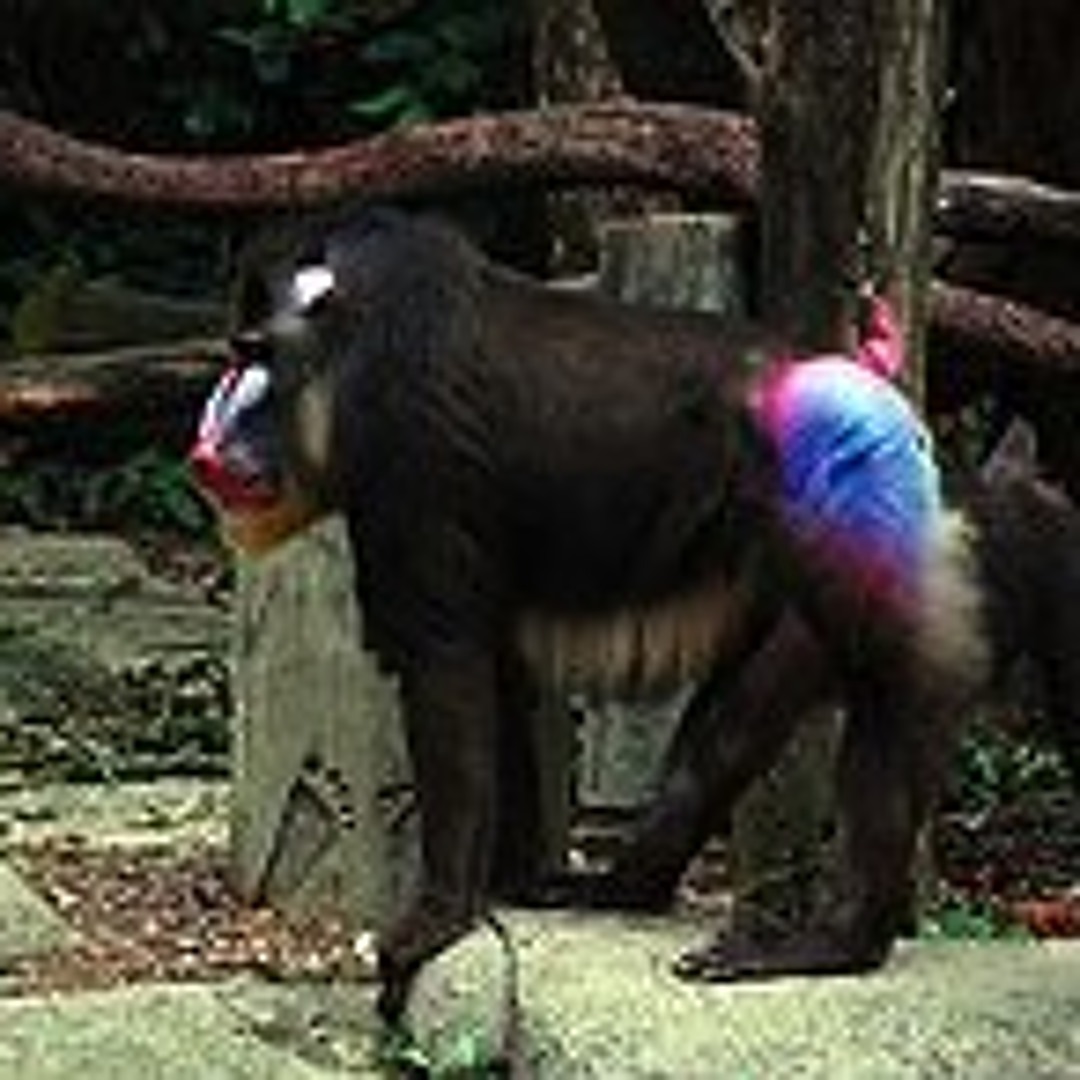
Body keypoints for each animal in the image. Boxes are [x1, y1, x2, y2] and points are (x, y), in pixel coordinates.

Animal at [188, 207, 986, 1019]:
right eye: (238, 349)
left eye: (258, 354)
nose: (209, 445)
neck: (360, 349)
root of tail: (864, 383)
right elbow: (501, 696)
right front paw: (504, 886)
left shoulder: (420, 489)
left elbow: (449, 680)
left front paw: (434, 923)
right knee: (729, 729)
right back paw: (622, 888)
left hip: (859, 528)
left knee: (889, 702)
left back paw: (840, 942)